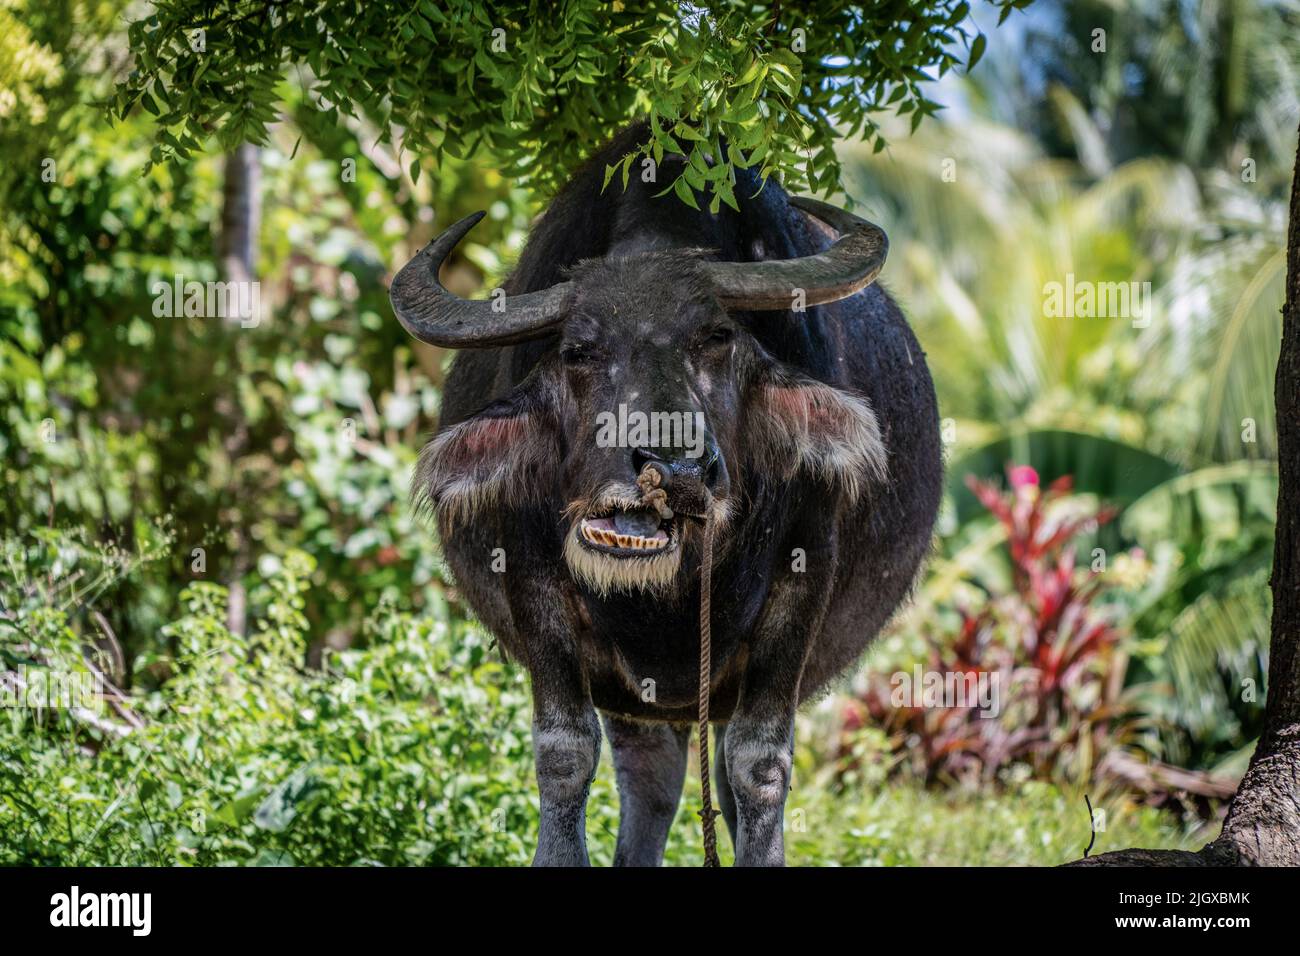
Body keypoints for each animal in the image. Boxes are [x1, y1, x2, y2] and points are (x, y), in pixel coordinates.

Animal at [389, 123, 943, 866]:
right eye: (578, 351)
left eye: (717, 336)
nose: (674, 468)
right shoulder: (530, 579)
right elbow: (563, 753)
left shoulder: (805, 577)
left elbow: (760, 763)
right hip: (639, 698)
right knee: (649, 778)